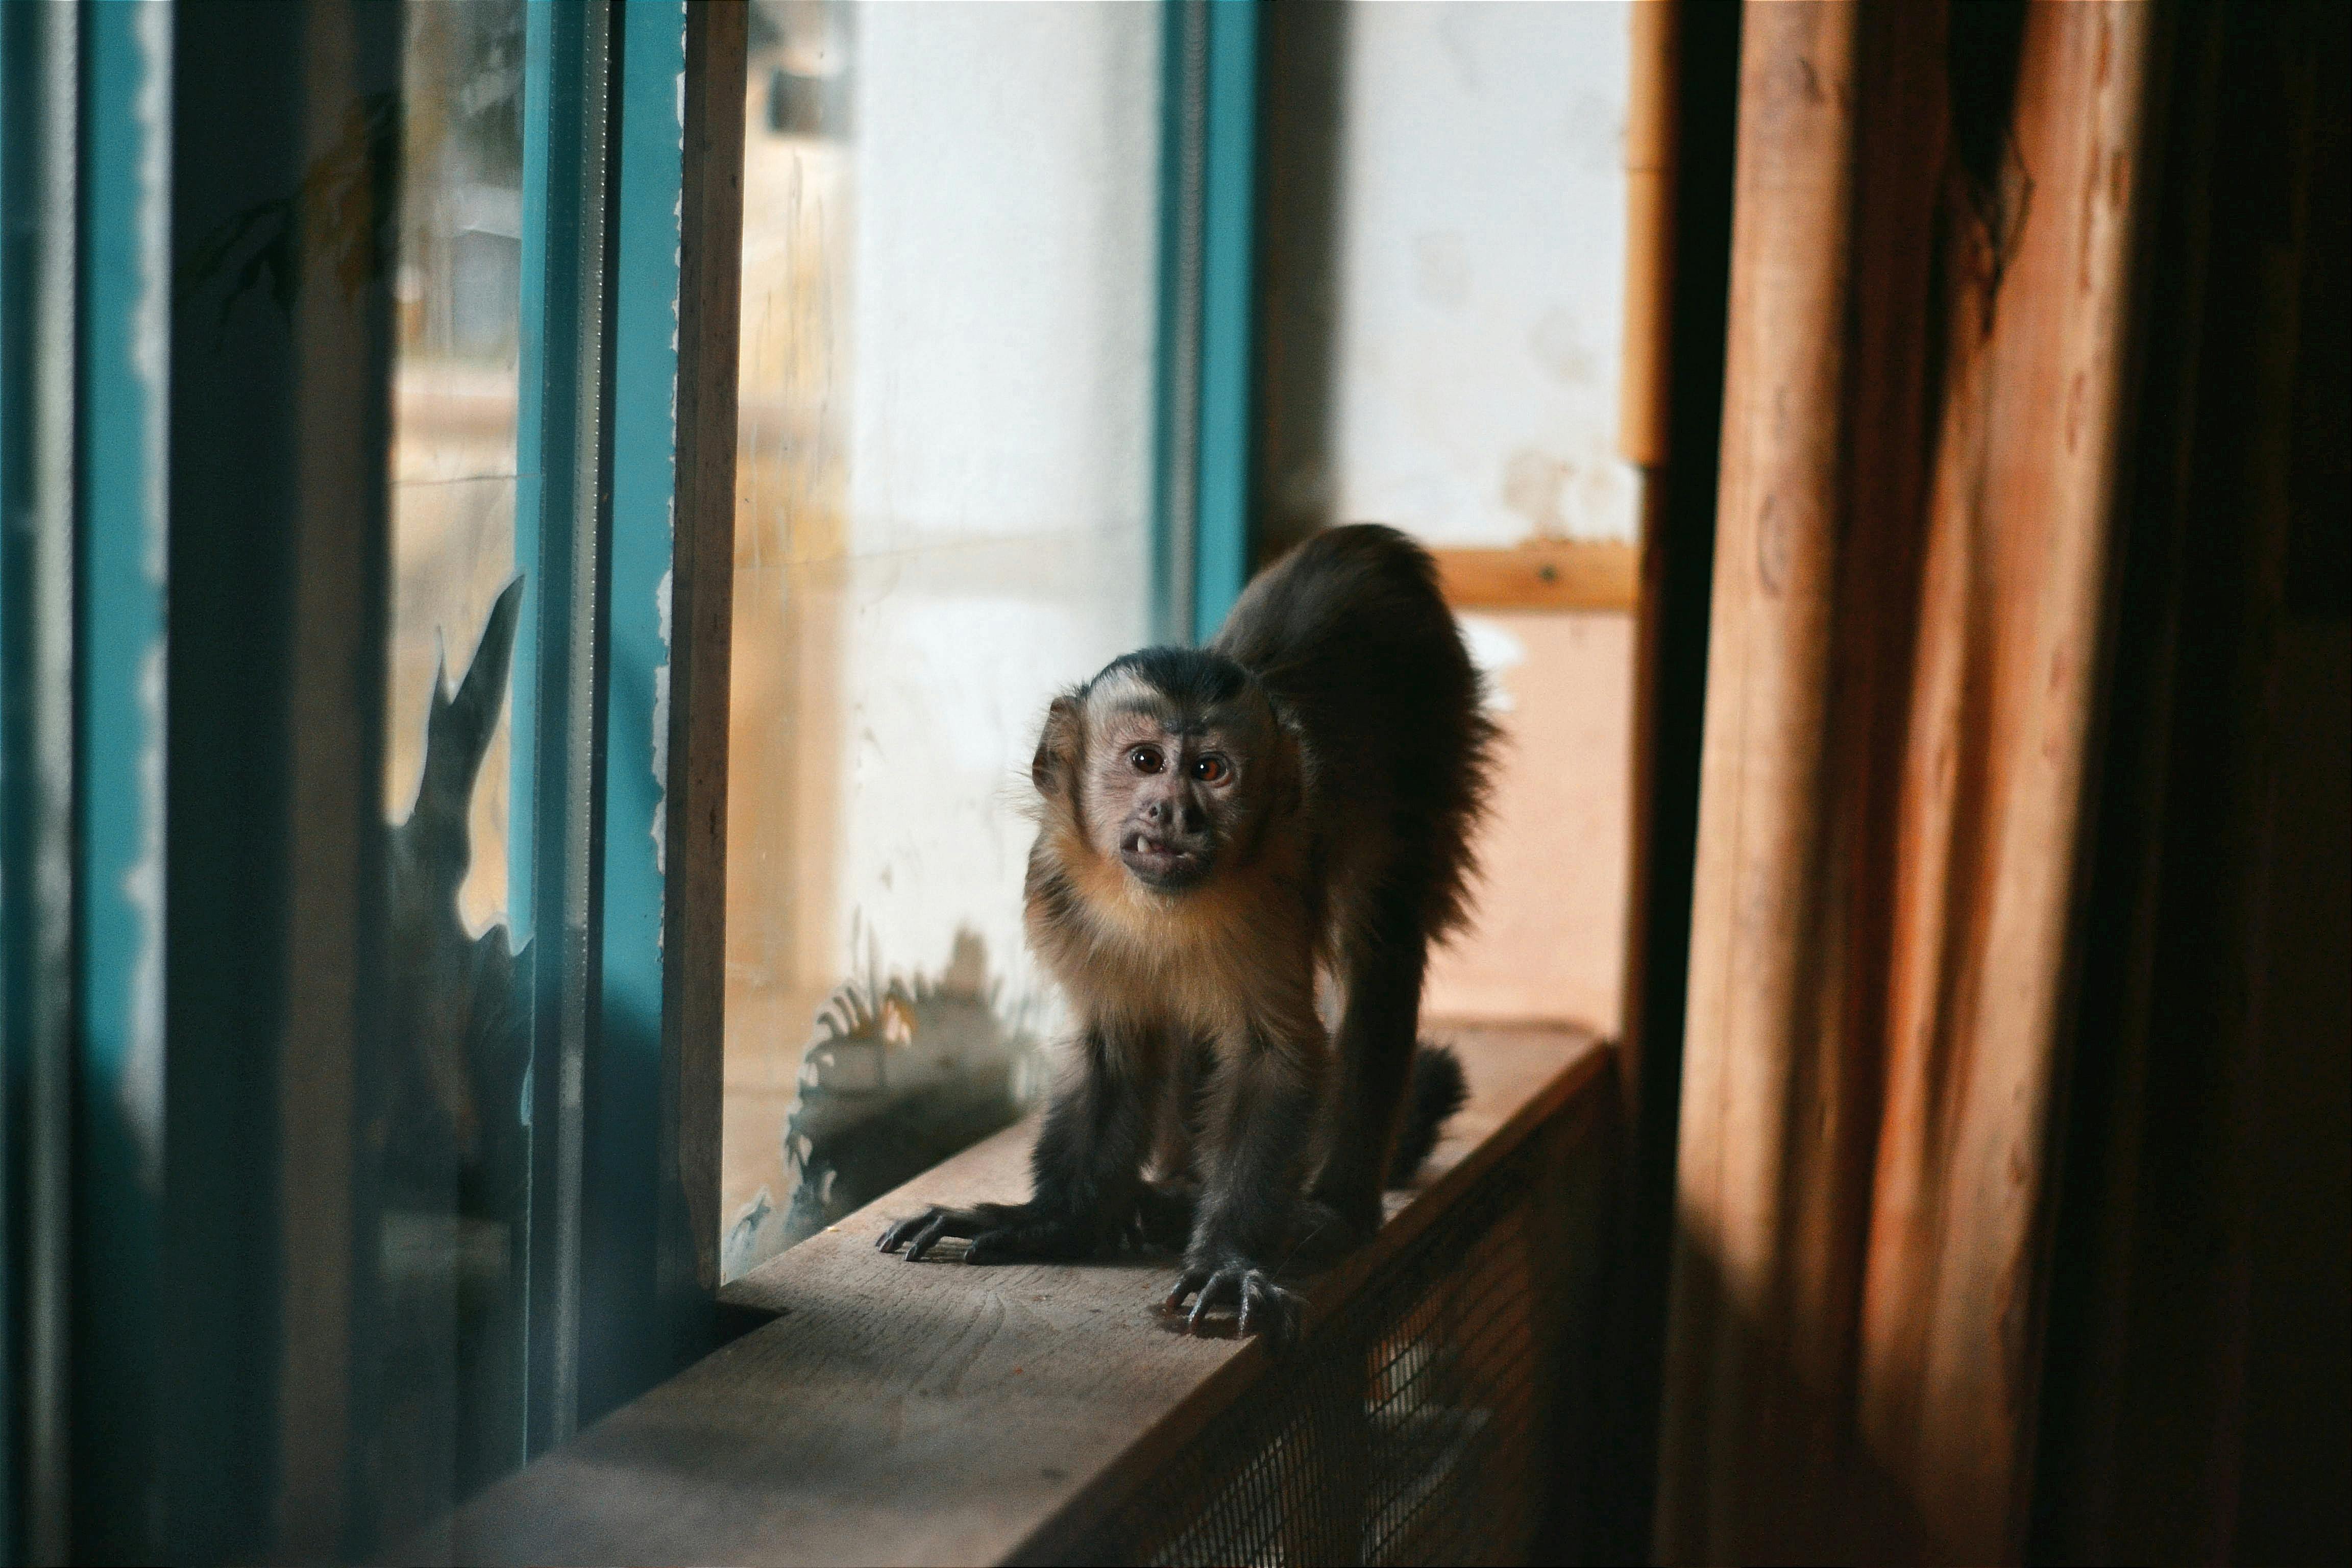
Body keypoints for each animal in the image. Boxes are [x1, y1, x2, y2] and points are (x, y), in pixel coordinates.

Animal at [878, 524, 1494, 1341]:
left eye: (1209, 770)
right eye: (1145, 761)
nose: (1173, 812)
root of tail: (1368, 543)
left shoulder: (1276, 885)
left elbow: (1274, 1054)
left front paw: (1228, 1259)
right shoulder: (1055, 885)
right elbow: (1116, 1039)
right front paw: (1051, 1220)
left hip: (1437, 722)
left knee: (1382, 941)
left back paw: (1333, 1211)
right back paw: (1168, 1194)